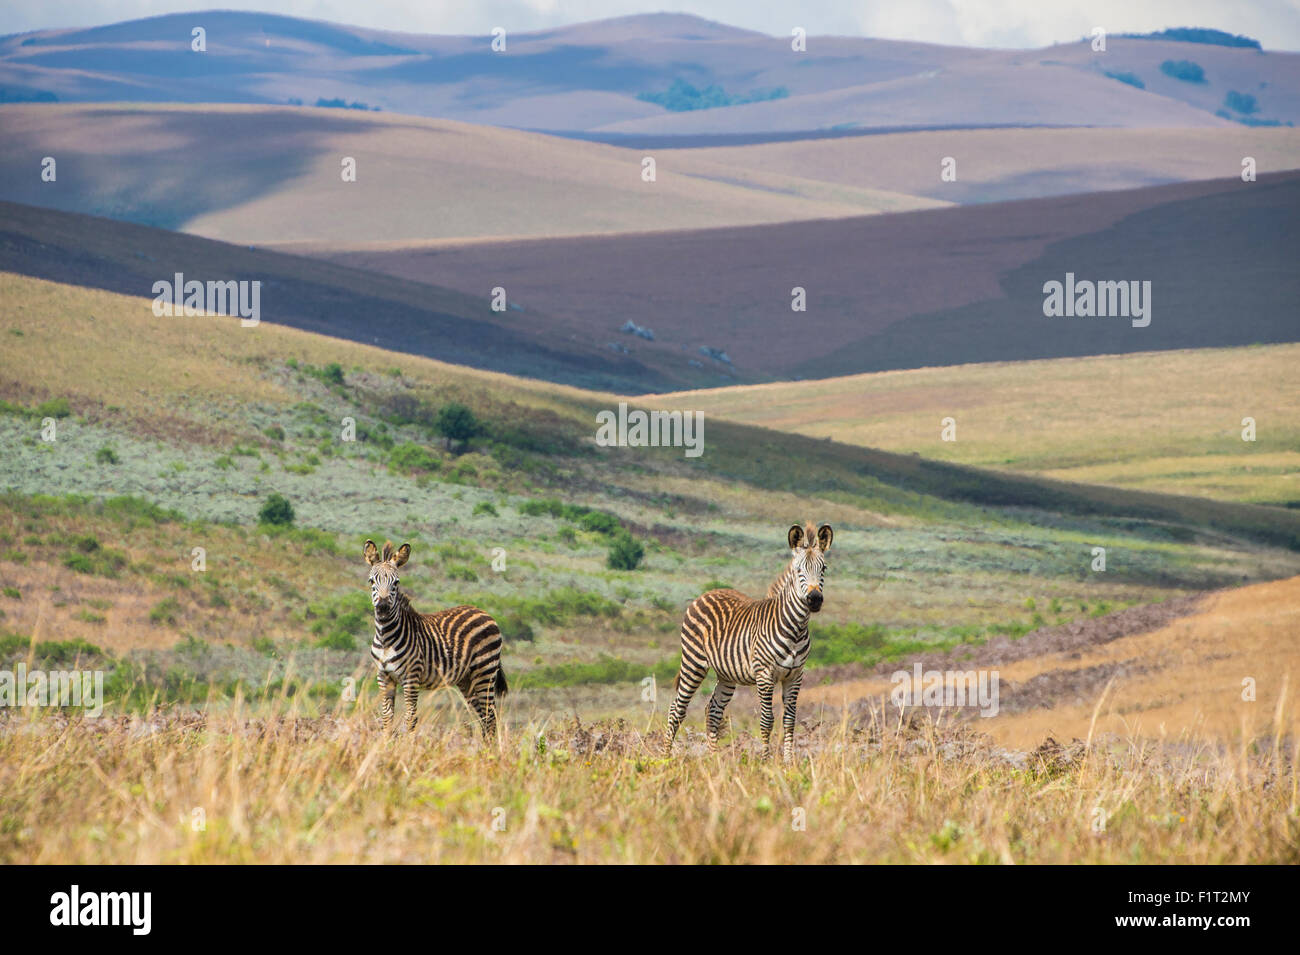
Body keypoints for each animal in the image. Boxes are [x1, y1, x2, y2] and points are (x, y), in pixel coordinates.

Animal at [364, 539, 507, 741]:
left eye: (396, 583)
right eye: (372, 581)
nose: (383, 608)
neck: (386, 639)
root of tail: (483, 612)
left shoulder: (411, 677)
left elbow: (410, 718)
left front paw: (408, 746)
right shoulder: (384, 677)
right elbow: (387, 717)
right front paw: (385, 745)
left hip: (485, 671)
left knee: (490, 715)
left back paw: (491, 749)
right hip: (466, 678)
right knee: (483, 716)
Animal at [664, 521, 833, 761]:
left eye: (823, 569)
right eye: (798, 569)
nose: (815, 599)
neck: (796, 629)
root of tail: (705, 594)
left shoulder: (795, 676)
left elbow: (789, 721)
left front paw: (788, 762)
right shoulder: (764, 675)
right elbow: (767, 720)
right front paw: (765, 760)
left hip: (726, 674)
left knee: (712, 710)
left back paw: (715, 759)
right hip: (693, 662)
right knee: (676, 710)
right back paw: (665, 756)